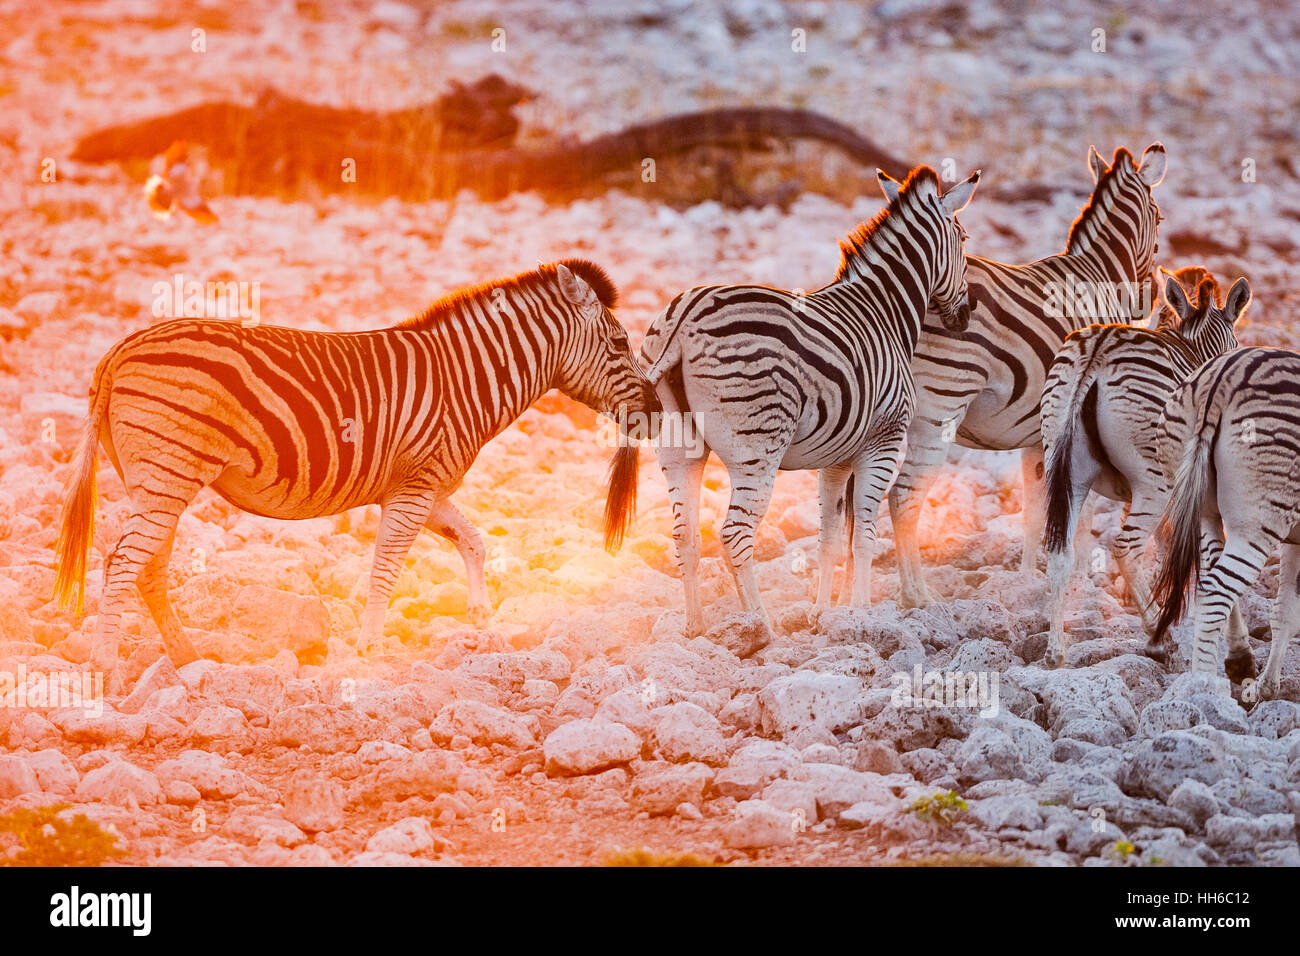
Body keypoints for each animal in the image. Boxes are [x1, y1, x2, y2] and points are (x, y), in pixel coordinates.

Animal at [54, 260, 658, 688]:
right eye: (621, 343)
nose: (655, 410)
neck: (464, 380)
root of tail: (119, 349)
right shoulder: (416, 487)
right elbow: (385, 570)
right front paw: (370, 650)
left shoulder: (424, 488)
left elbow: (474, 541)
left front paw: (481, 620)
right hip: (167, 475)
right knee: (123, 563)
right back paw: (107, 668)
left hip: (158, 482)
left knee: (146, 569)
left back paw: (187, 660)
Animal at [607, 165, 980, 638]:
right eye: (964, 239)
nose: (965, 315)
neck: (885, 311)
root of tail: (684, 320)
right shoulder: (885, 440)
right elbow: (865, 536)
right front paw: (862, 612)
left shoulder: (837, 457)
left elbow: (830, 538)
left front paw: (825, 614)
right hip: (757, 447)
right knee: (734, 534)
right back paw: (761, 626)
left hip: (678, 446)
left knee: (685, 533)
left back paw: (696, 628)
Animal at [887, 144, 1167, 609]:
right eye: (1159, 218)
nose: (1150, 297)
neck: (1100, 272)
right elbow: (1081, 513)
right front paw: (1082, 578)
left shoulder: (1037, 435)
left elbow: (1037, 510)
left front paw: (1026, 577)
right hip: (939, 405)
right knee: (904, 496)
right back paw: (916, 597)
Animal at [1038, 268, 1251, 669]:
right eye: (1235, 346)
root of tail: (1098, 351)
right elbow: (1211, 558)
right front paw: (1239, 648)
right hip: (1155, 481)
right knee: (1124, 546)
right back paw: (1157, 637)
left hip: (1065, 466)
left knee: (1060, 550)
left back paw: (1056, 650)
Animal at [1153, 347, 1300, 698]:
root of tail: (1222, 379)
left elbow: (1285, 611)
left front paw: (1266, 689)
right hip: (1256, 523)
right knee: (1213, 592)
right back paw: (1204, 689)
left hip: (1203, 512)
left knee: (1211, 577)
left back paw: (1238, 659)